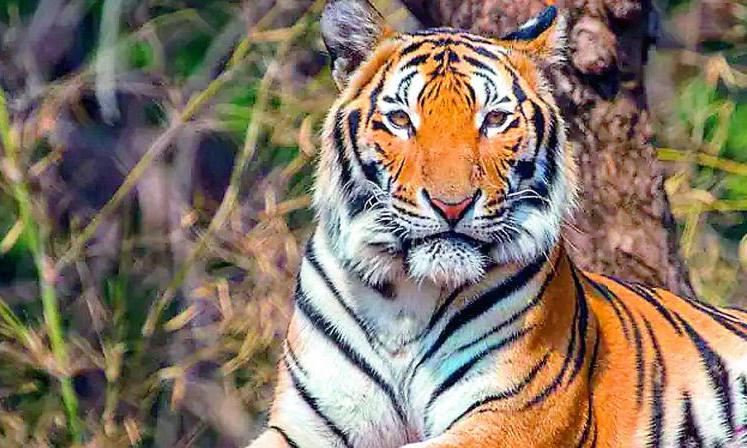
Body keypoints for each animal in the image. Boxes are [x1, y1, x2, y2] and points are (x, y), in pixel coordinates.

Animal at [248, 1, 747, 447]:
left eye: (495, 120)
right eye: (400, 119)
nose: (451, 205)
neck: (405, 299)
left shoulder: (513, 417)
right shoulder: (303, 424)